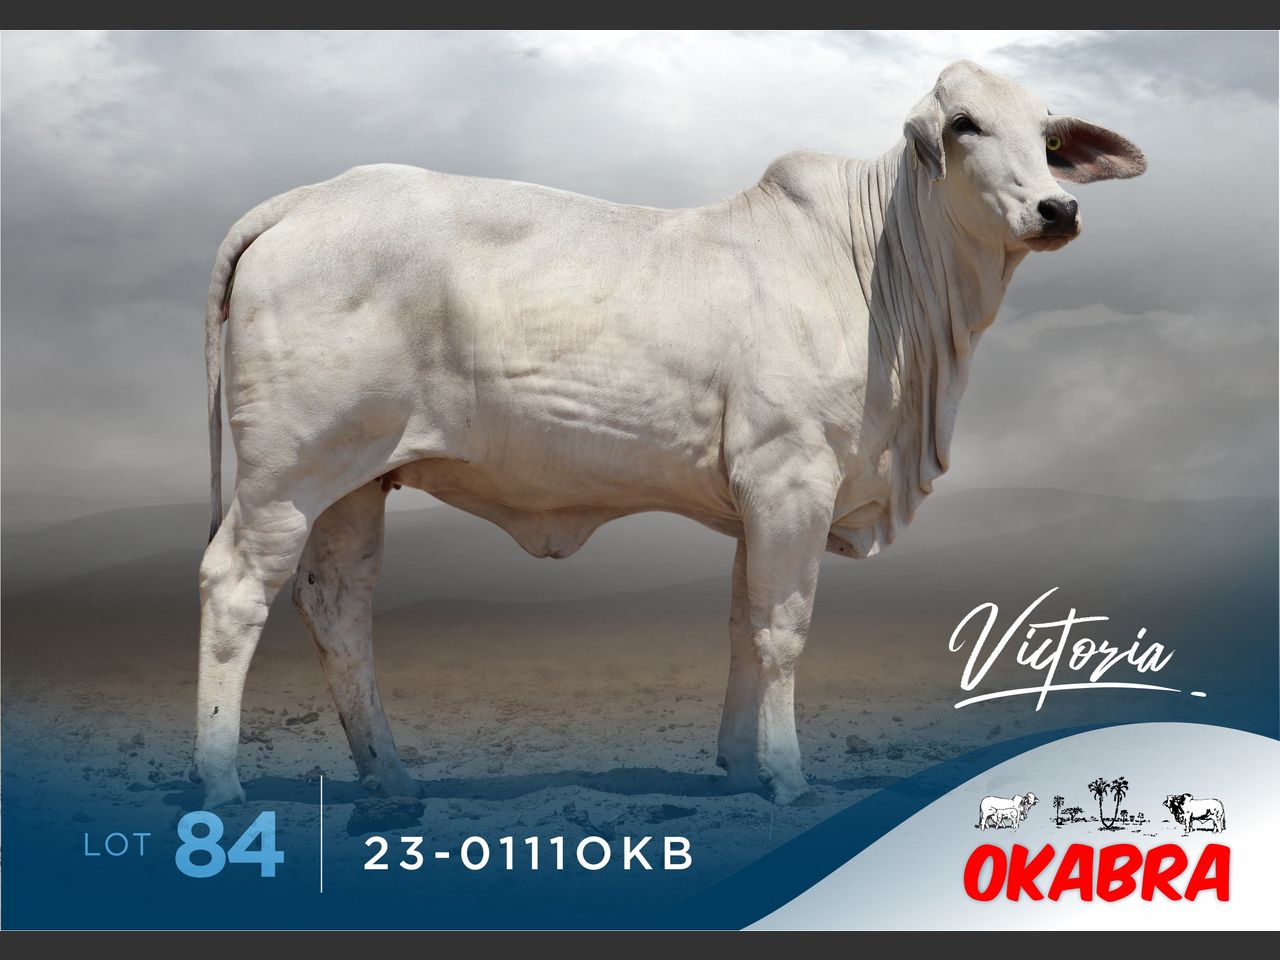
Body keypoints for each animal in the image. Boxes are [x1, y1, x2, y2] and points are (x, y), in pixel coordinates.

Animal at [192, 60, 1146, 808]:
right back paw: (221, 785)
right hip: (287, 472)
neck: (882, 273)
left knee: (338, 608)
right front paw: (787, 776)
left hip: (355, 479)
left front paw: (739, 765)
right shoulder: (792, 477)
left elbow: (742, 622)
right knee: (235, 587)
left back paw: (390, 781)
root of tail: (303, 201)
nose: (1057, 209)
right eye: (963, 124)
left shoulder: (761, 497)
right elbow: (783, 628)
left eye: (1048, 135)